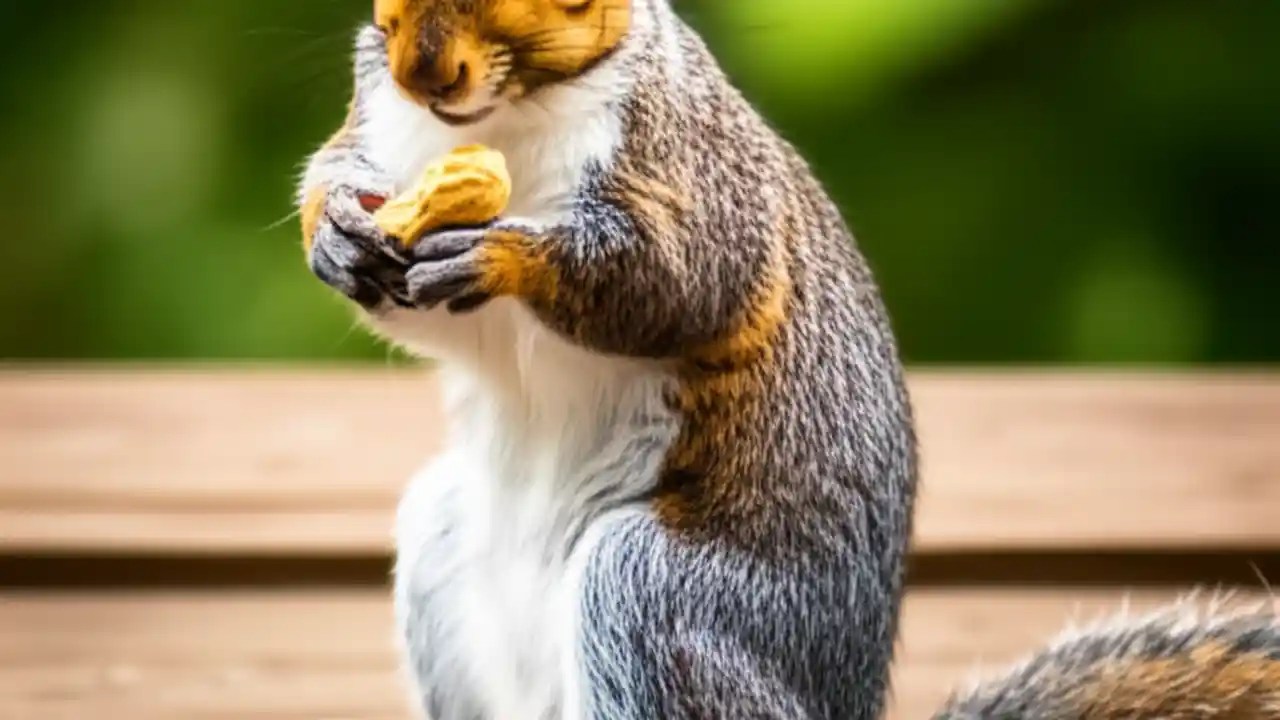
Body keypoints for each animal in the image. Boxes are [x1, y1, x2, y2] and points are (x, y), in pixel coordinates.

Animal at [297, 1, 1280, 718]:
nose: (425, 74)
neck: (506, 122)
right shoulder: (385, 133)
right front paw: (337, 231)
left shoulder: (697, 174)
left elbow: (674, 280)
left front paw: (508, 254)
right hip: (446, 546)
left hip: (660, 601)